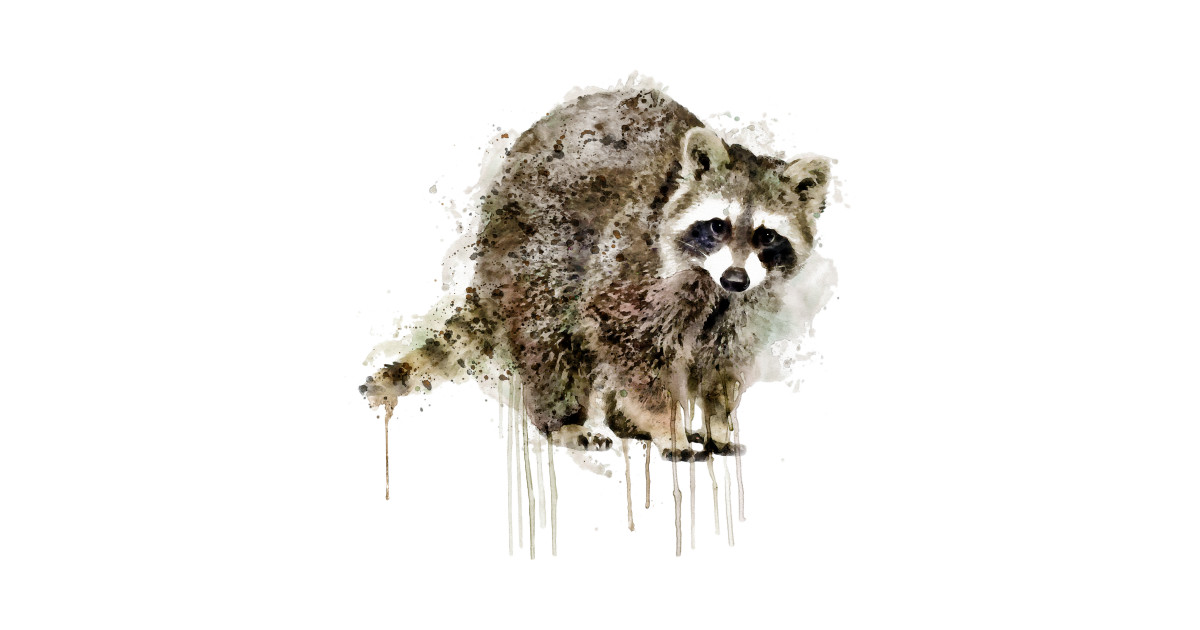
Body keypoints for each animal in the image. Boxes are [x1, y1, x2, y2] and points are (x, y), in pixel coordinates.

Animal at [360, 87, 830, 461]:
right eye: (717, 225)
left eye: (767, 235)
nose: (735, 278)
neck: (709, 279)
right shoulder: (632, 267)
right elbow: (627, 341)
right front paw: (667, 425)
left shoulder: (746, 303)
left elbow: (721, 361)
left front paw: (717, 420)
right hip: (536, 253)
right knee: (550, 339)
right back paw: (565, 420)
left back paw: (624, 421)